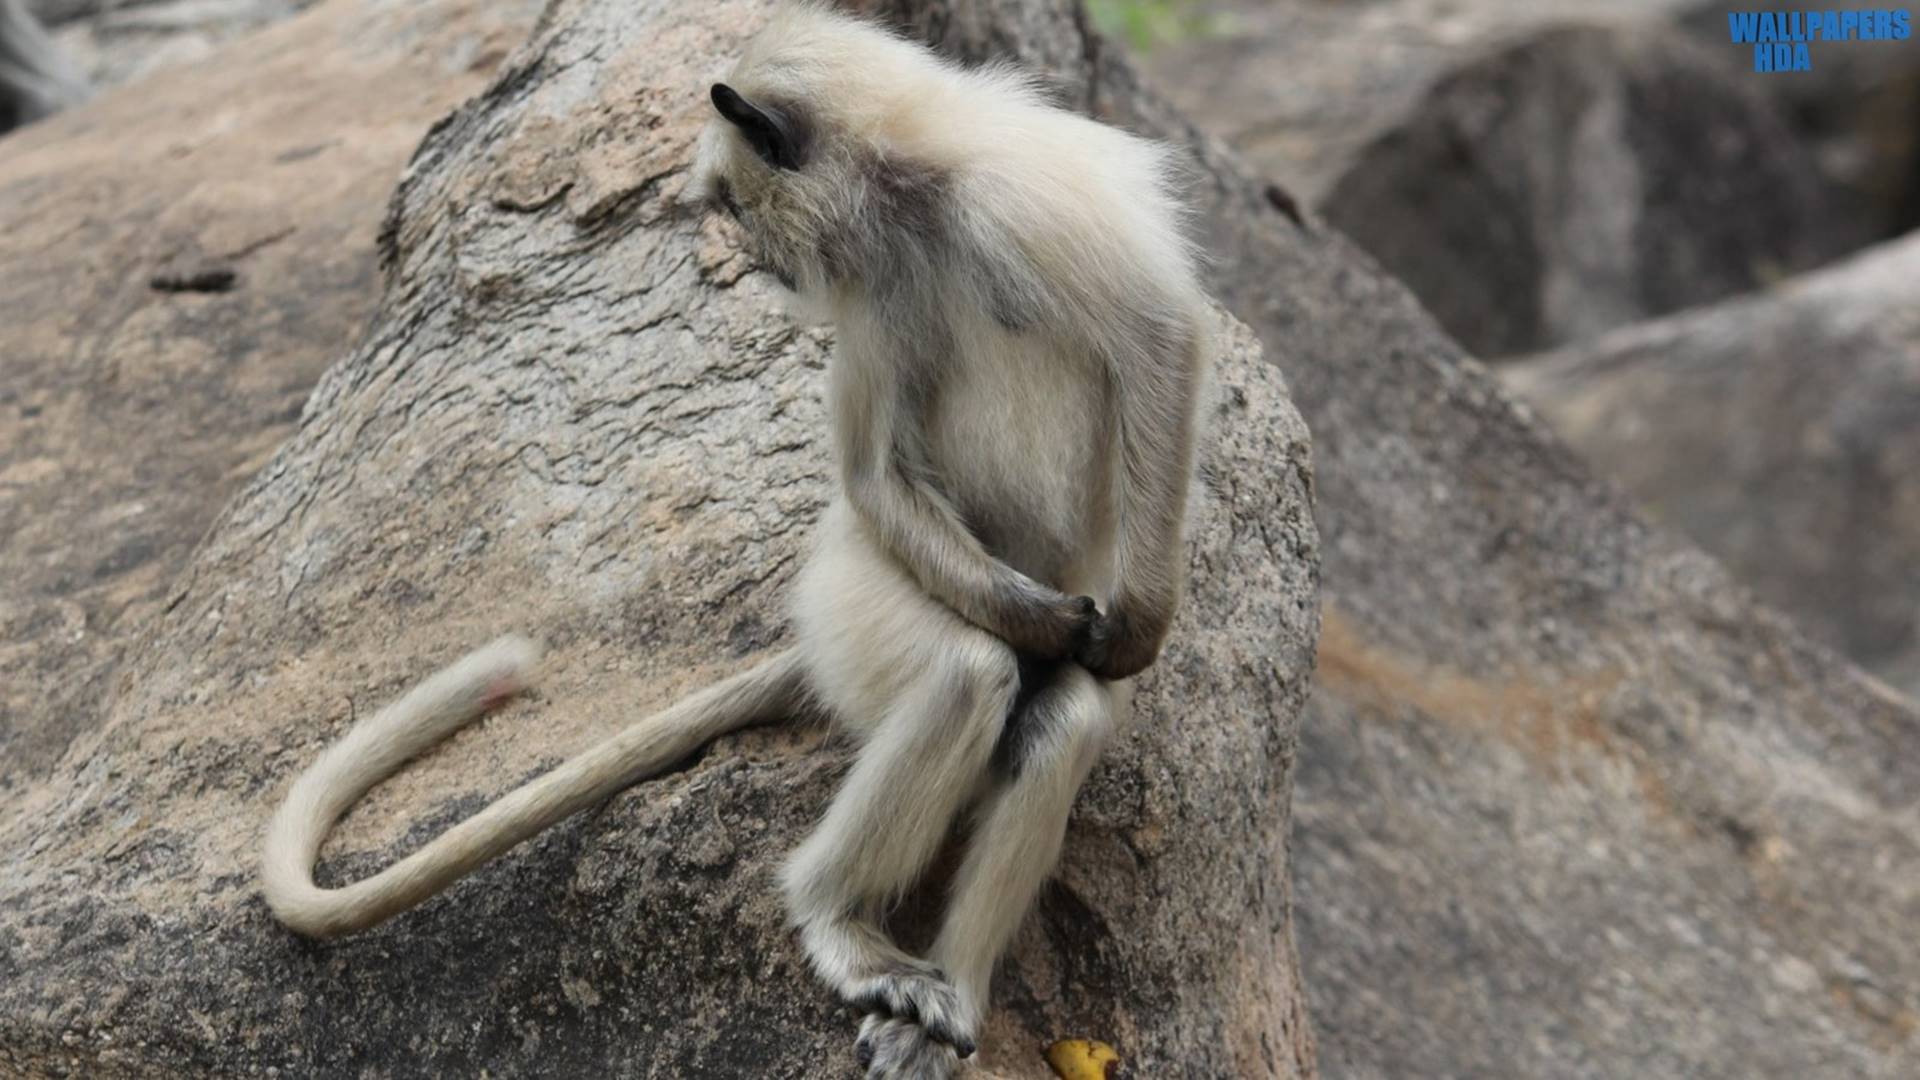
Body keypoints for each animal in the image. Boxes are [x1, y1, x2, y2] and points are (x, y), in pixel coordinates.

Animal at [260, 5, 1211, 1077]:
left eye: (735, 204)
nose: (753, 259)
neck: (913, 192)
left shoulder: (1006, 205)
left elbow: (1162, 340)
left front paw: (1134, 623)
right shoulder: (870, 279)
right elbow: (877, 477)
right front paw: (1038, 623)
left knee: (1068, 716)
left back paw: (951, 997)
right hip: (853, 598)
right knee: (971, 671)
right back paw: (841, 912)